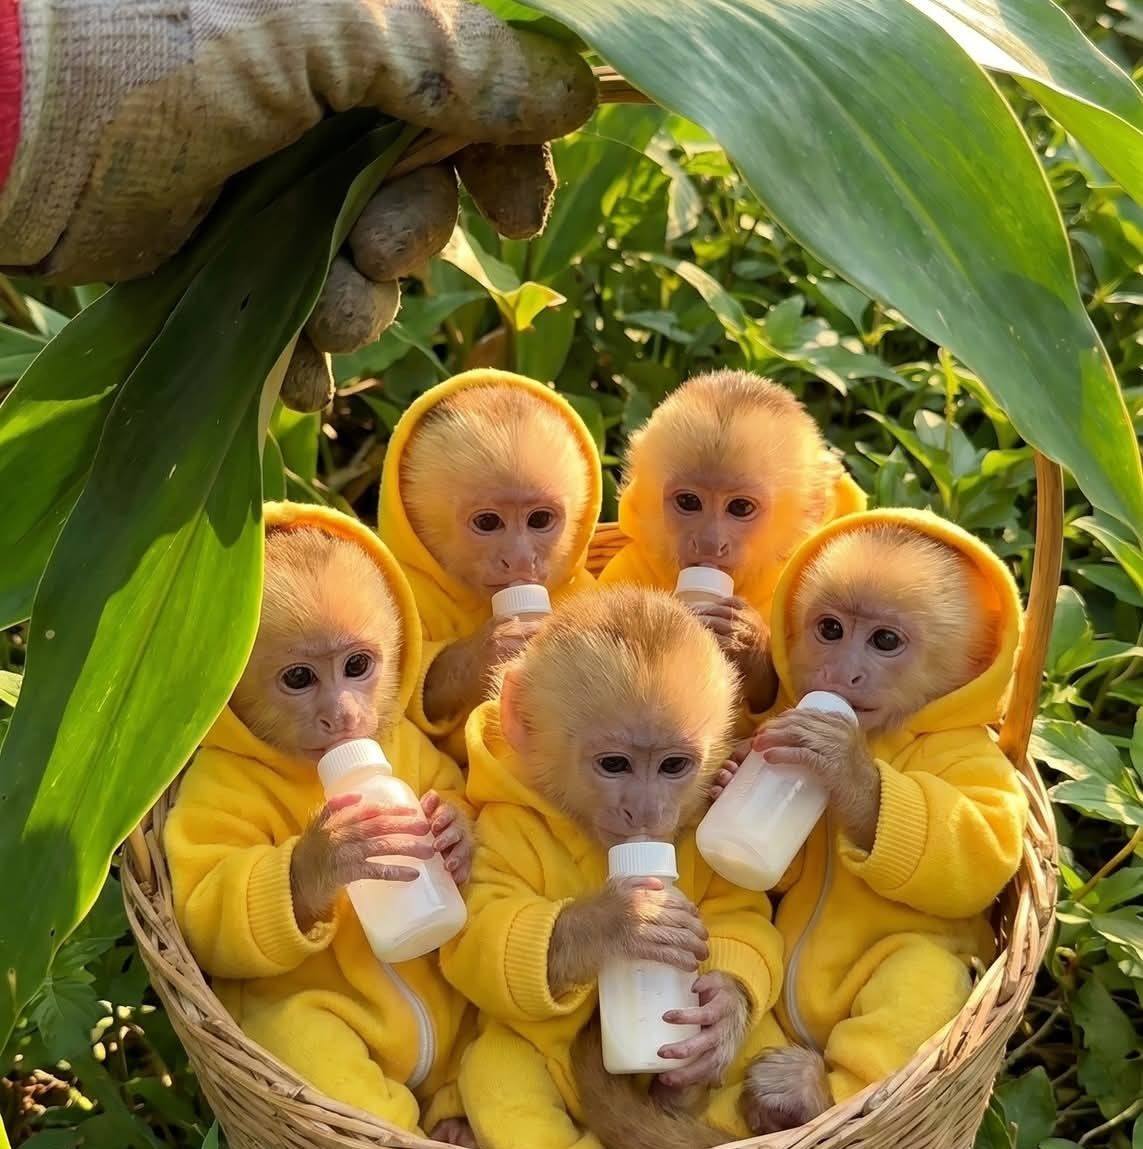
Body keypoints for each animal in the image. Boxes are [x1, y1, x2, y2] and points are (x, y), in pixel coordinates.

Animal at [165, 503, 477, 1143]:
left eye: (357, 666)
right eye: (299, 678)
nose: (343, 715)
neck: (326, 773)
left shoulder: (409, 751)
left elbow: (444, 783)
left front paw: (452, 833)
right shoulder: (211, 791)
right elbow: (210, 903)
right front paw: (332, 850)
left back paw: (455, 1119)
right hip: (302, 1034)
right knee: (327, 1053)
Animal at [438, 586, 788, 1149]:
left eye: (673, 766)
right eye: (614, 765)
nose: (644, 810)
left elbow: (742, 916)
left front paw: (721, 1014)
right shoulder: (502, 826)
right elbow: (483, 939)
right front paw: (622, 921)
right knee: (502, 1076)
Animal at [714, 510, 1028, 1133]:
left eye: (884, 641)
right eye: (830, 629)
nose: (841, 672)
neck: (880, 731)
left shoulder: (975, 756)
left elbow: (980, 846)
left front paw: (846, 766)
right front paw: (732, 764)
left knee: (918, 969)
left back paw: (810, 1095)